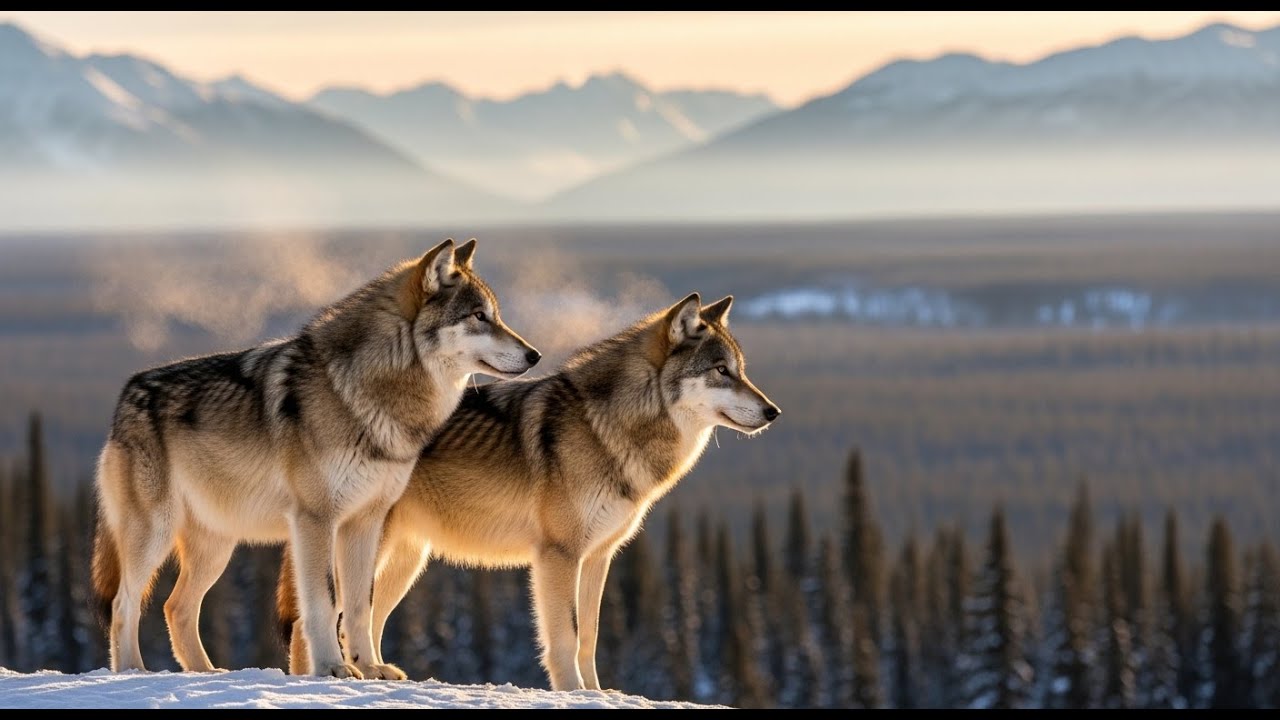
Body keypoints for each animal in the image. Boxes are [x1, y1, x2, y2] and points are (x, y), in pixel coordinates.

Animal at [92, 237, 540, 680]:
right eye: (479, 316)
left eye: (495, 315)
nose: (534, 355)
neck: (366, 392)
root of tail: (125, 396)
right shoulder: (316, 519)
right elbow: (324, 601)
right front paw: (331, 668)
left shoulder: (366, 521)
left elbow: (360, 604)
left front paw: (369, 667)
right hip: (156, 533)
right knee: (123, 603)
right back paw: (132, 671)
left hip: (217, 545)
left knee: (176, 607)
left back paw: (208, 673)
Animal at [278, 292, 779, 690]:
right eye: (720, 371)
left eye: (740, 371)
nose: (773, 411)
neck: (608, 429)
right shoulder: (559, 555)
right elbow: (567, 636)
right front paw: (572, 692)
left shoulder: (598, 557)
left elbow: (590, 634)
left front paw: (596, 693)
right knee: (314, 619)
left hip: (405, 560)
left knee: (364, 618)